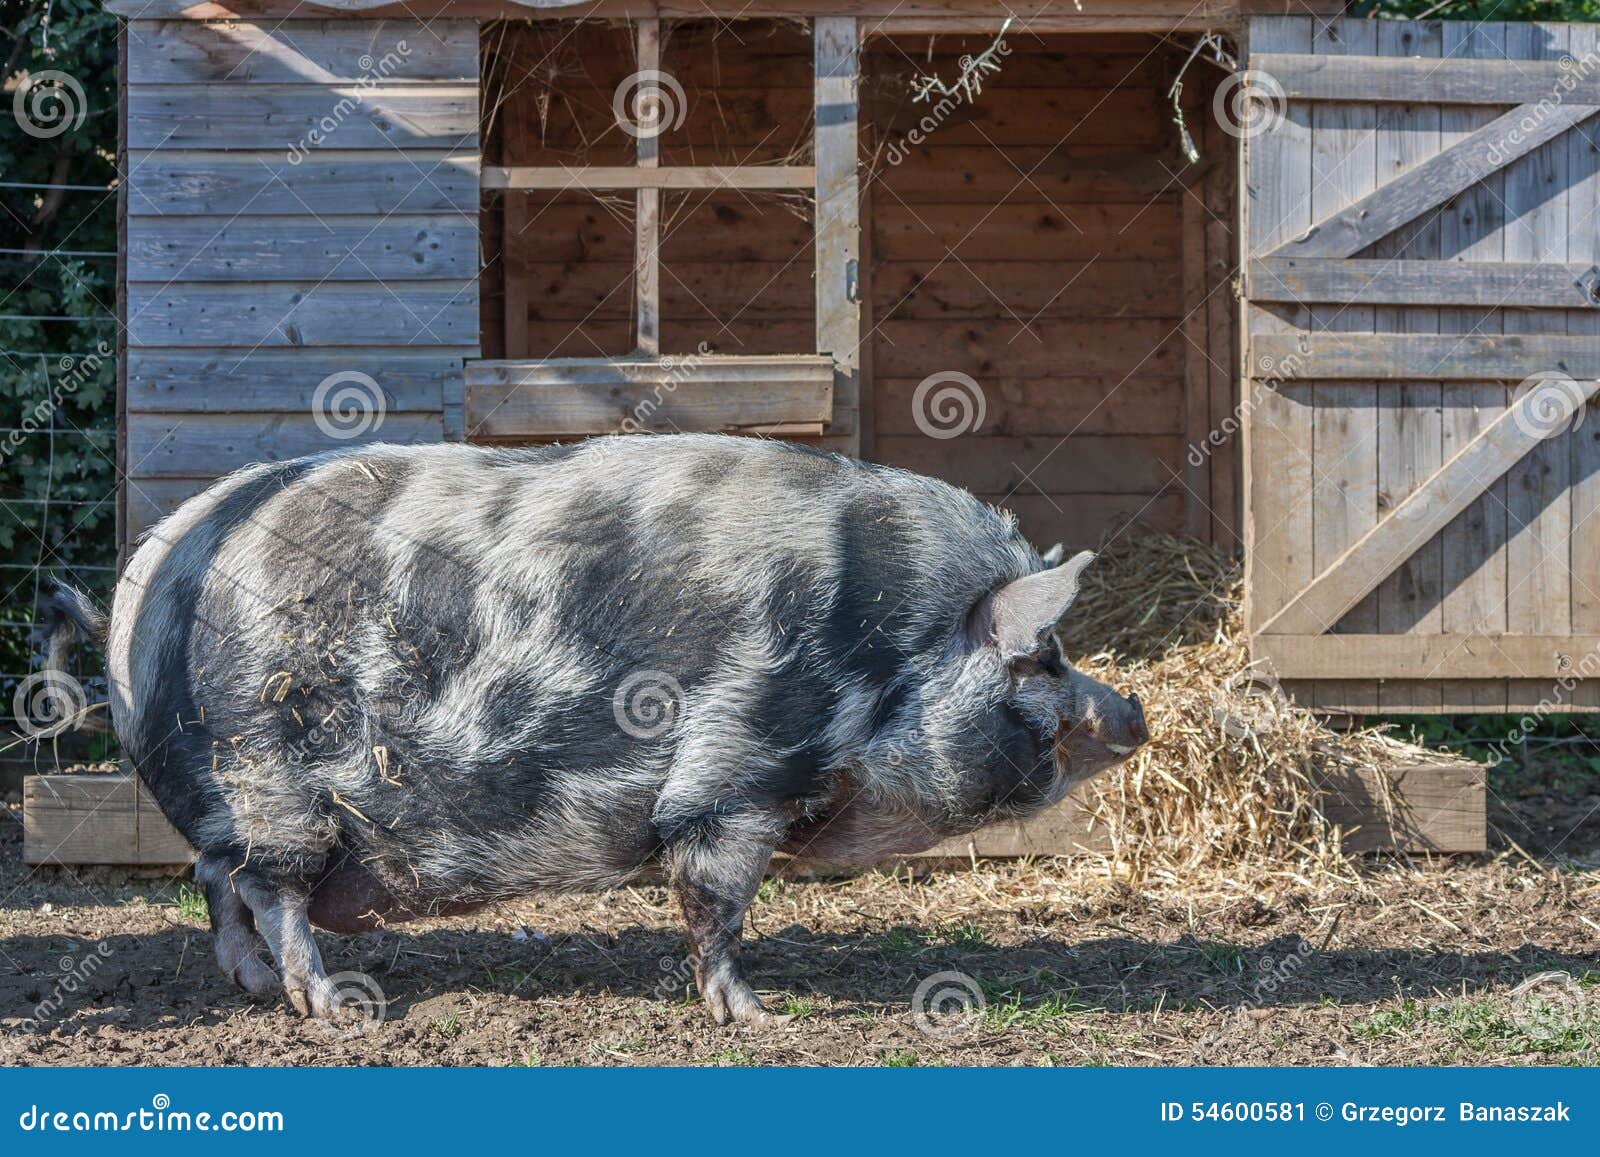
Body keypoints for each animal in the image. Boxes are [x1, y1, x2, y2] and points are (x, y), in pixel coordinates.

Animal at [44, 434, 1148, 1024]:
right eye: (1043, 658)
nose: (1133, 709)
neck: (886, 656)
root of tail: (142, 576)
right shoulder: (737, 764)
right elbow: (713, 898)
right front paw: (754, 1016)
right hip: (269, 771)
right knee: (270, 888)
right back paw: (334, 1006)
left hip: (234, 796)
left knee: (216, 877)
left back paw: (253, 986)